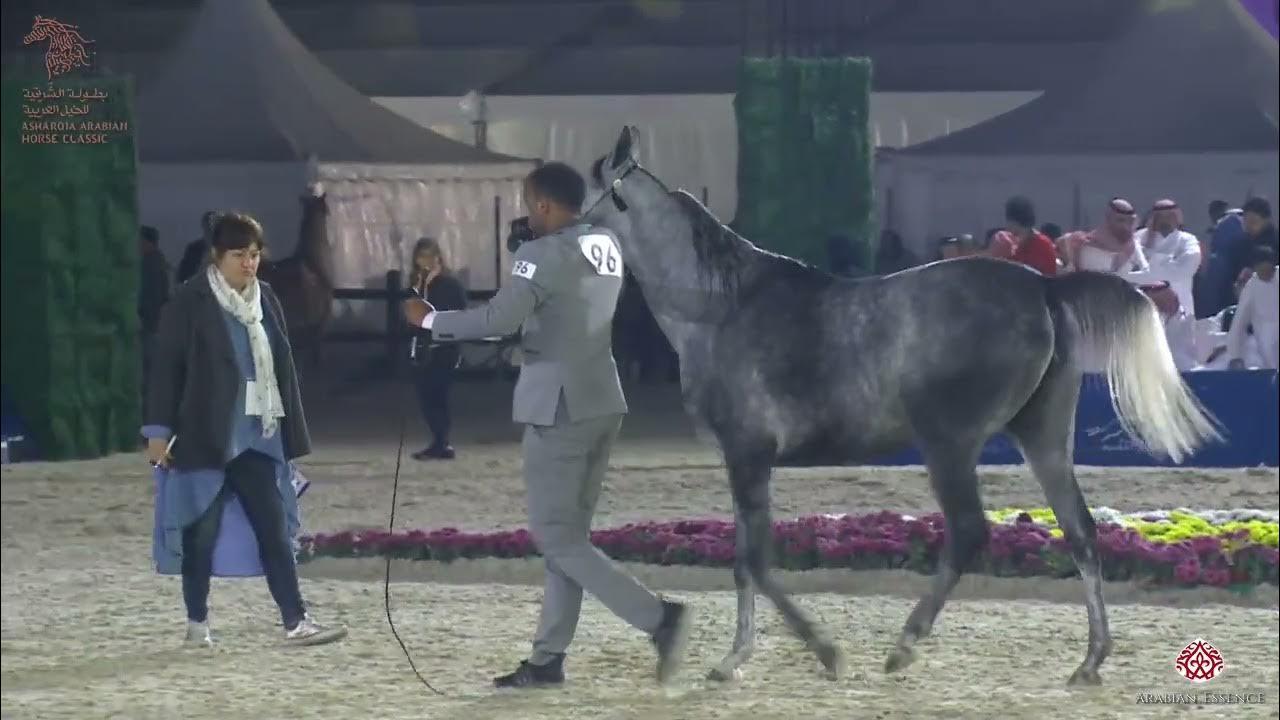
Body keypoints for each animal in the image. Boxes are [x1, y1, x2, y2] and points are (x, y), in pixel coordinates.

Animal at [584, 126, 1221, 686]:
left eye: (584, 182)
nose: (545, 226)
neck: (722, 307)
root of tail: (1043, 286)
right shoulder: (742, 459)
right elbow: (744, 560)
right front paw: (737, 660)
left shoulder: (748, 453)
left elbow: (756, 562)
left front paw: (816, 654)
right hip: (1041, 435)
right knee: (1081, 531)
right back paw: (1090, 660)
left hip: (949, 442)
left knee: (968, 532)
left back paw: (905, 645)